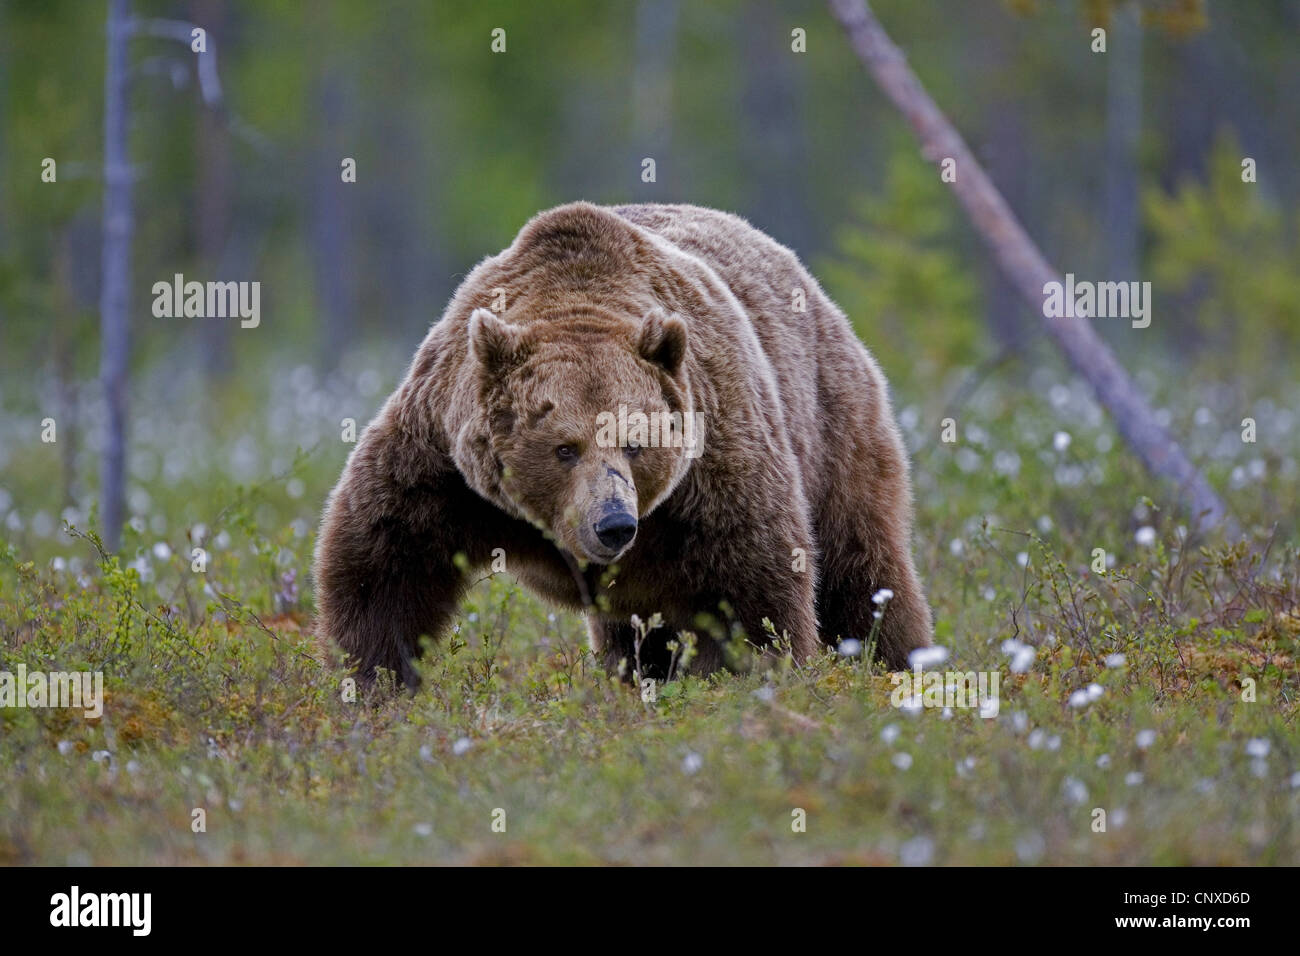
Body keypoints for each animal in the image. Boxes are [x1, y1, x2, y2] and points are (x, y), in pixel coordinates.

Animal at [313, 201, 932, 689]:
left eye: (636, 443)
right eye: (565, 448)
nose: (614, 524)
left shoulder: (711, 456)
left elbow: (753, 584)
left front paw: (742, 679)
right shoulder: (445, 456)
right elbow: (386, 556)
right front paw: (376, 679)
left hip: (832, 423)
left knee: (862, 570)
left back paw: (896, 662)